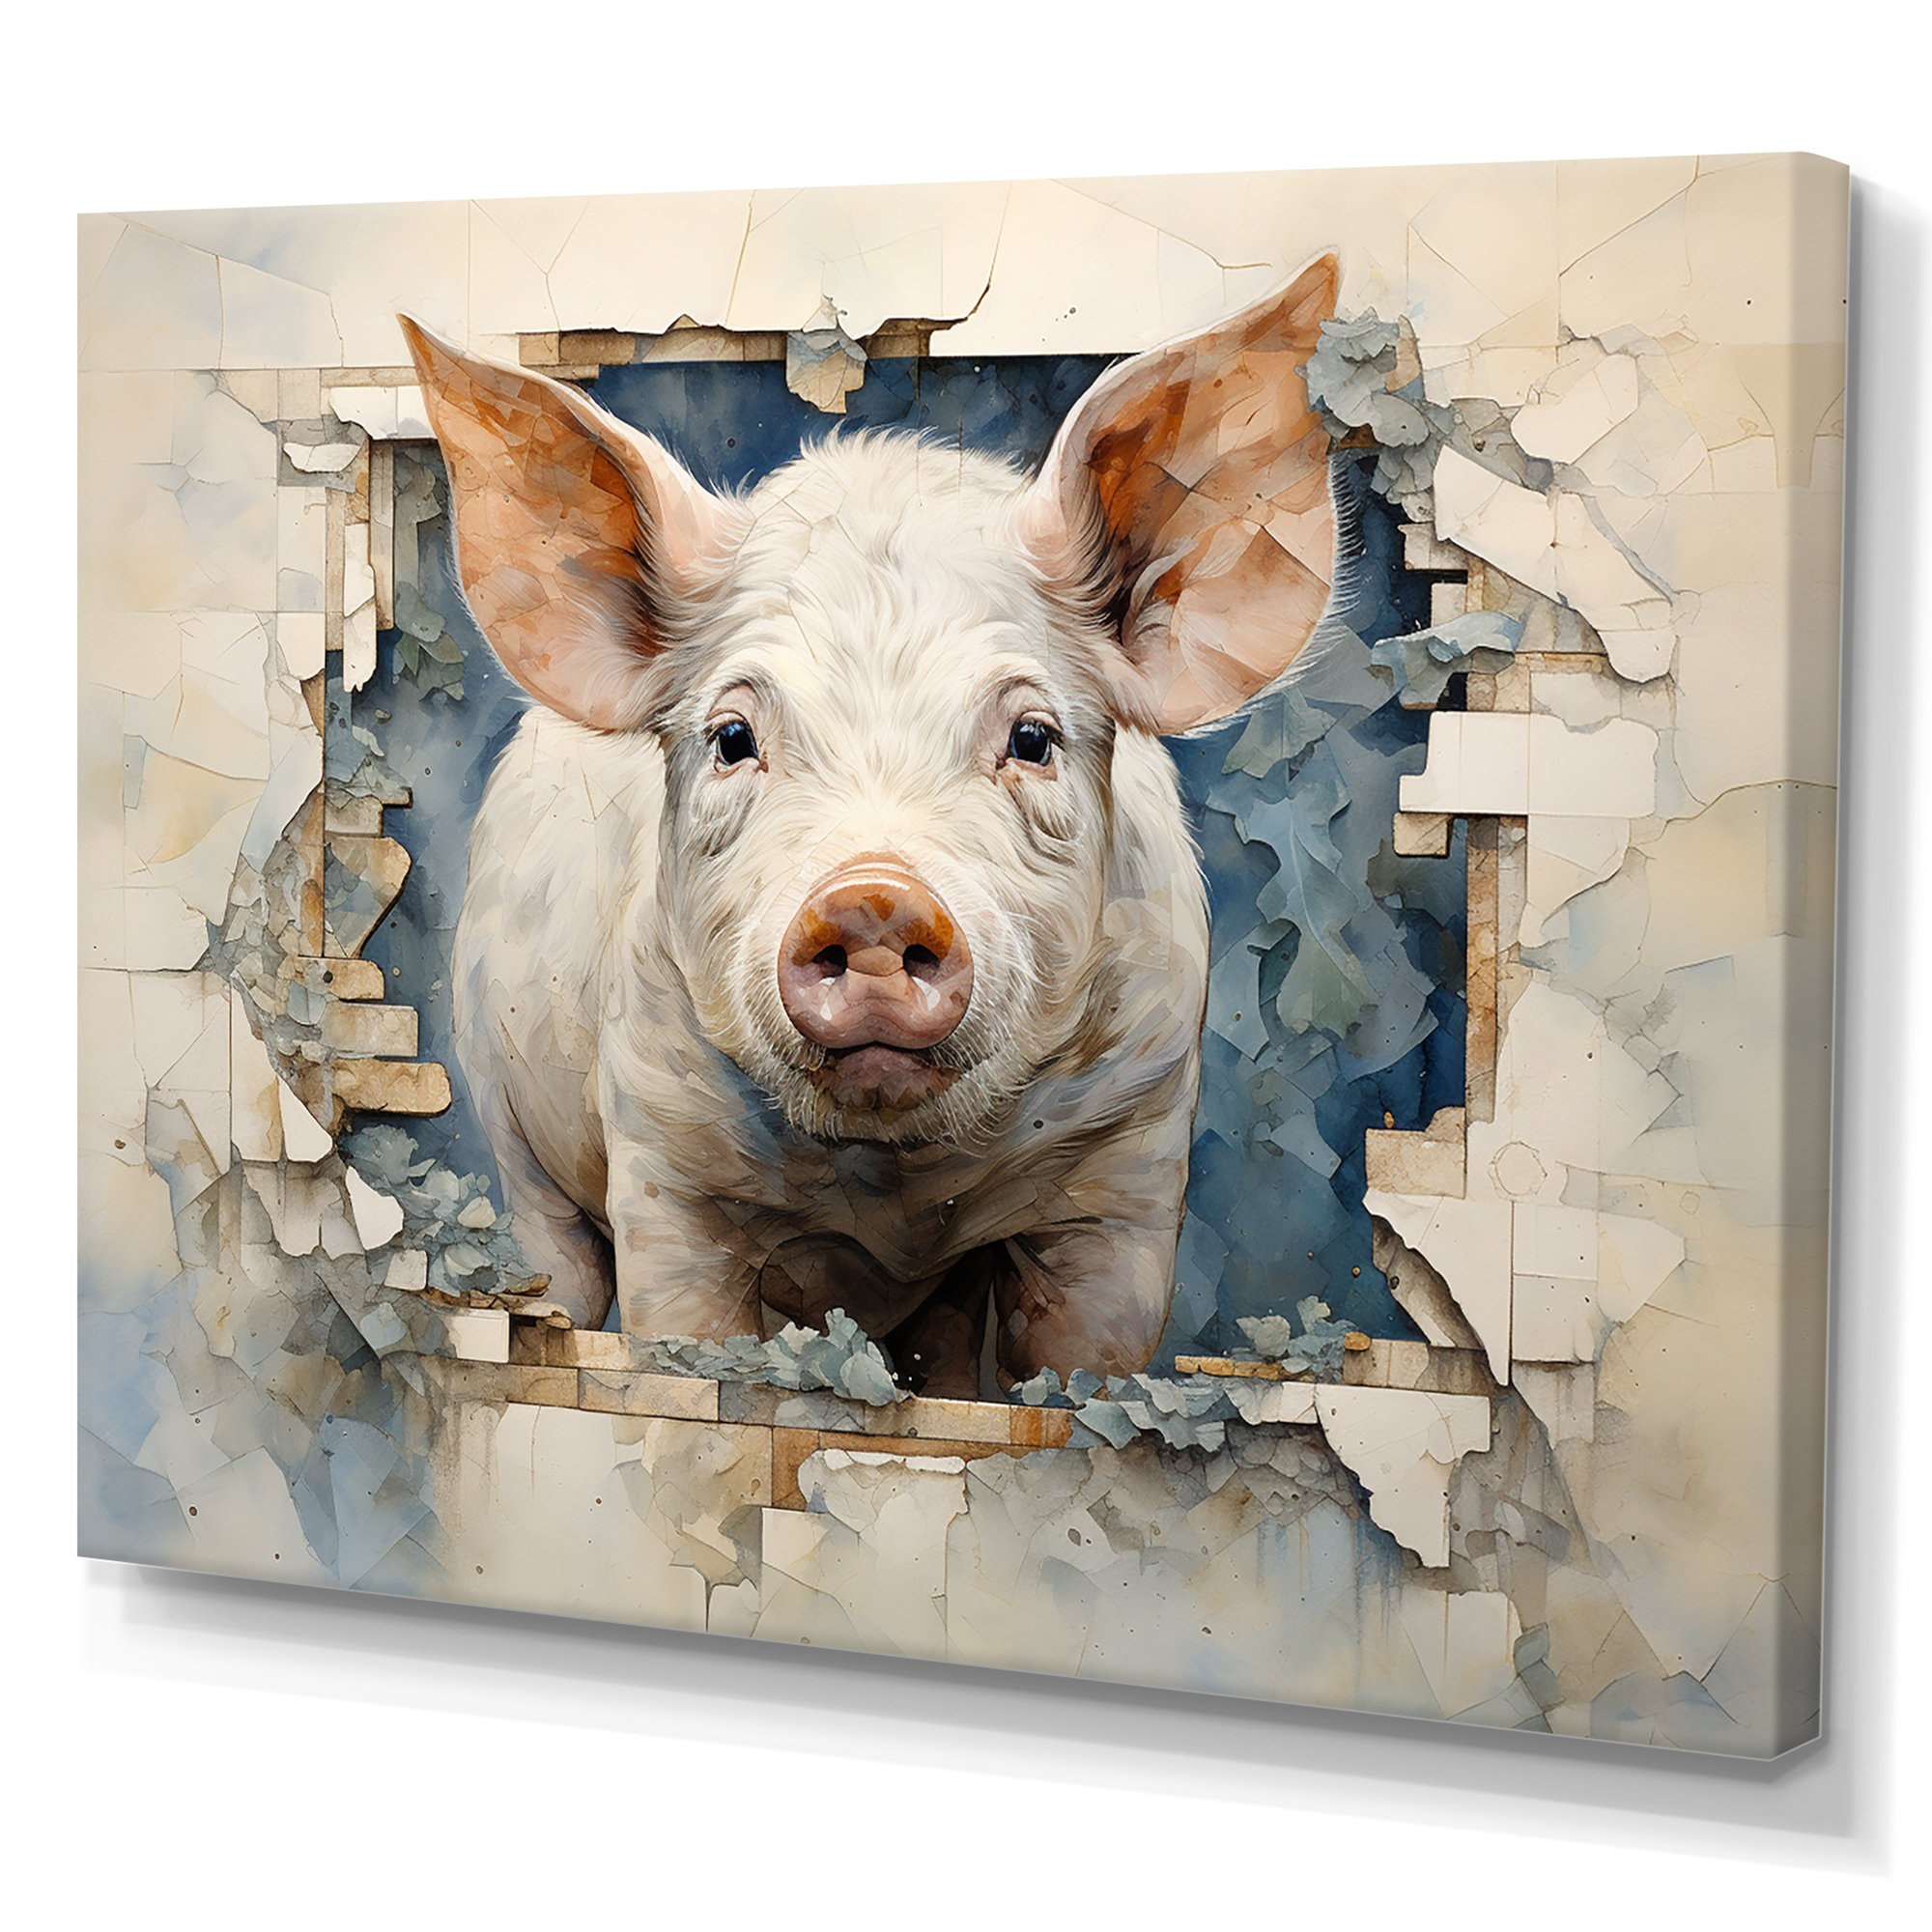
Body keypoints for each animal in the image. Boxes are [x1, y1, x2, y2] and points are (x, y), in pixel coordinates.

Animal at [399, 252, 1338, 1398]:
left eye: (1031, 737)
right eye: (731, 737)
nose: (876, 896)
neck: (890, 1196)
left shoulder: (1131, 1170)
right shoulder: (662, 1162)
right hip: (511, 1130)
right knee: (558, 1265)